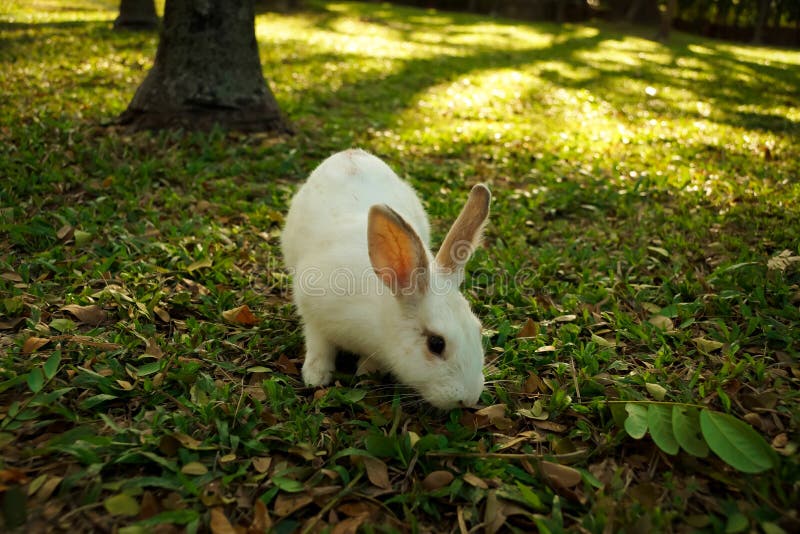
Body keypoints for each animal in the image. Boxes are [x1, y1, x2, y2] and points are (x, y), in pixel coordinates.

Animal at [281, 148, 490, 409]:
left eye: (479, 329)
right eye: (436, 344)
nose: (469, 399)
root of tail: (351, 153)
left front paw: (367, 372)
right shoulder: (312, 313)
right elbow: (319, 343)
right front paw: (315, 376)